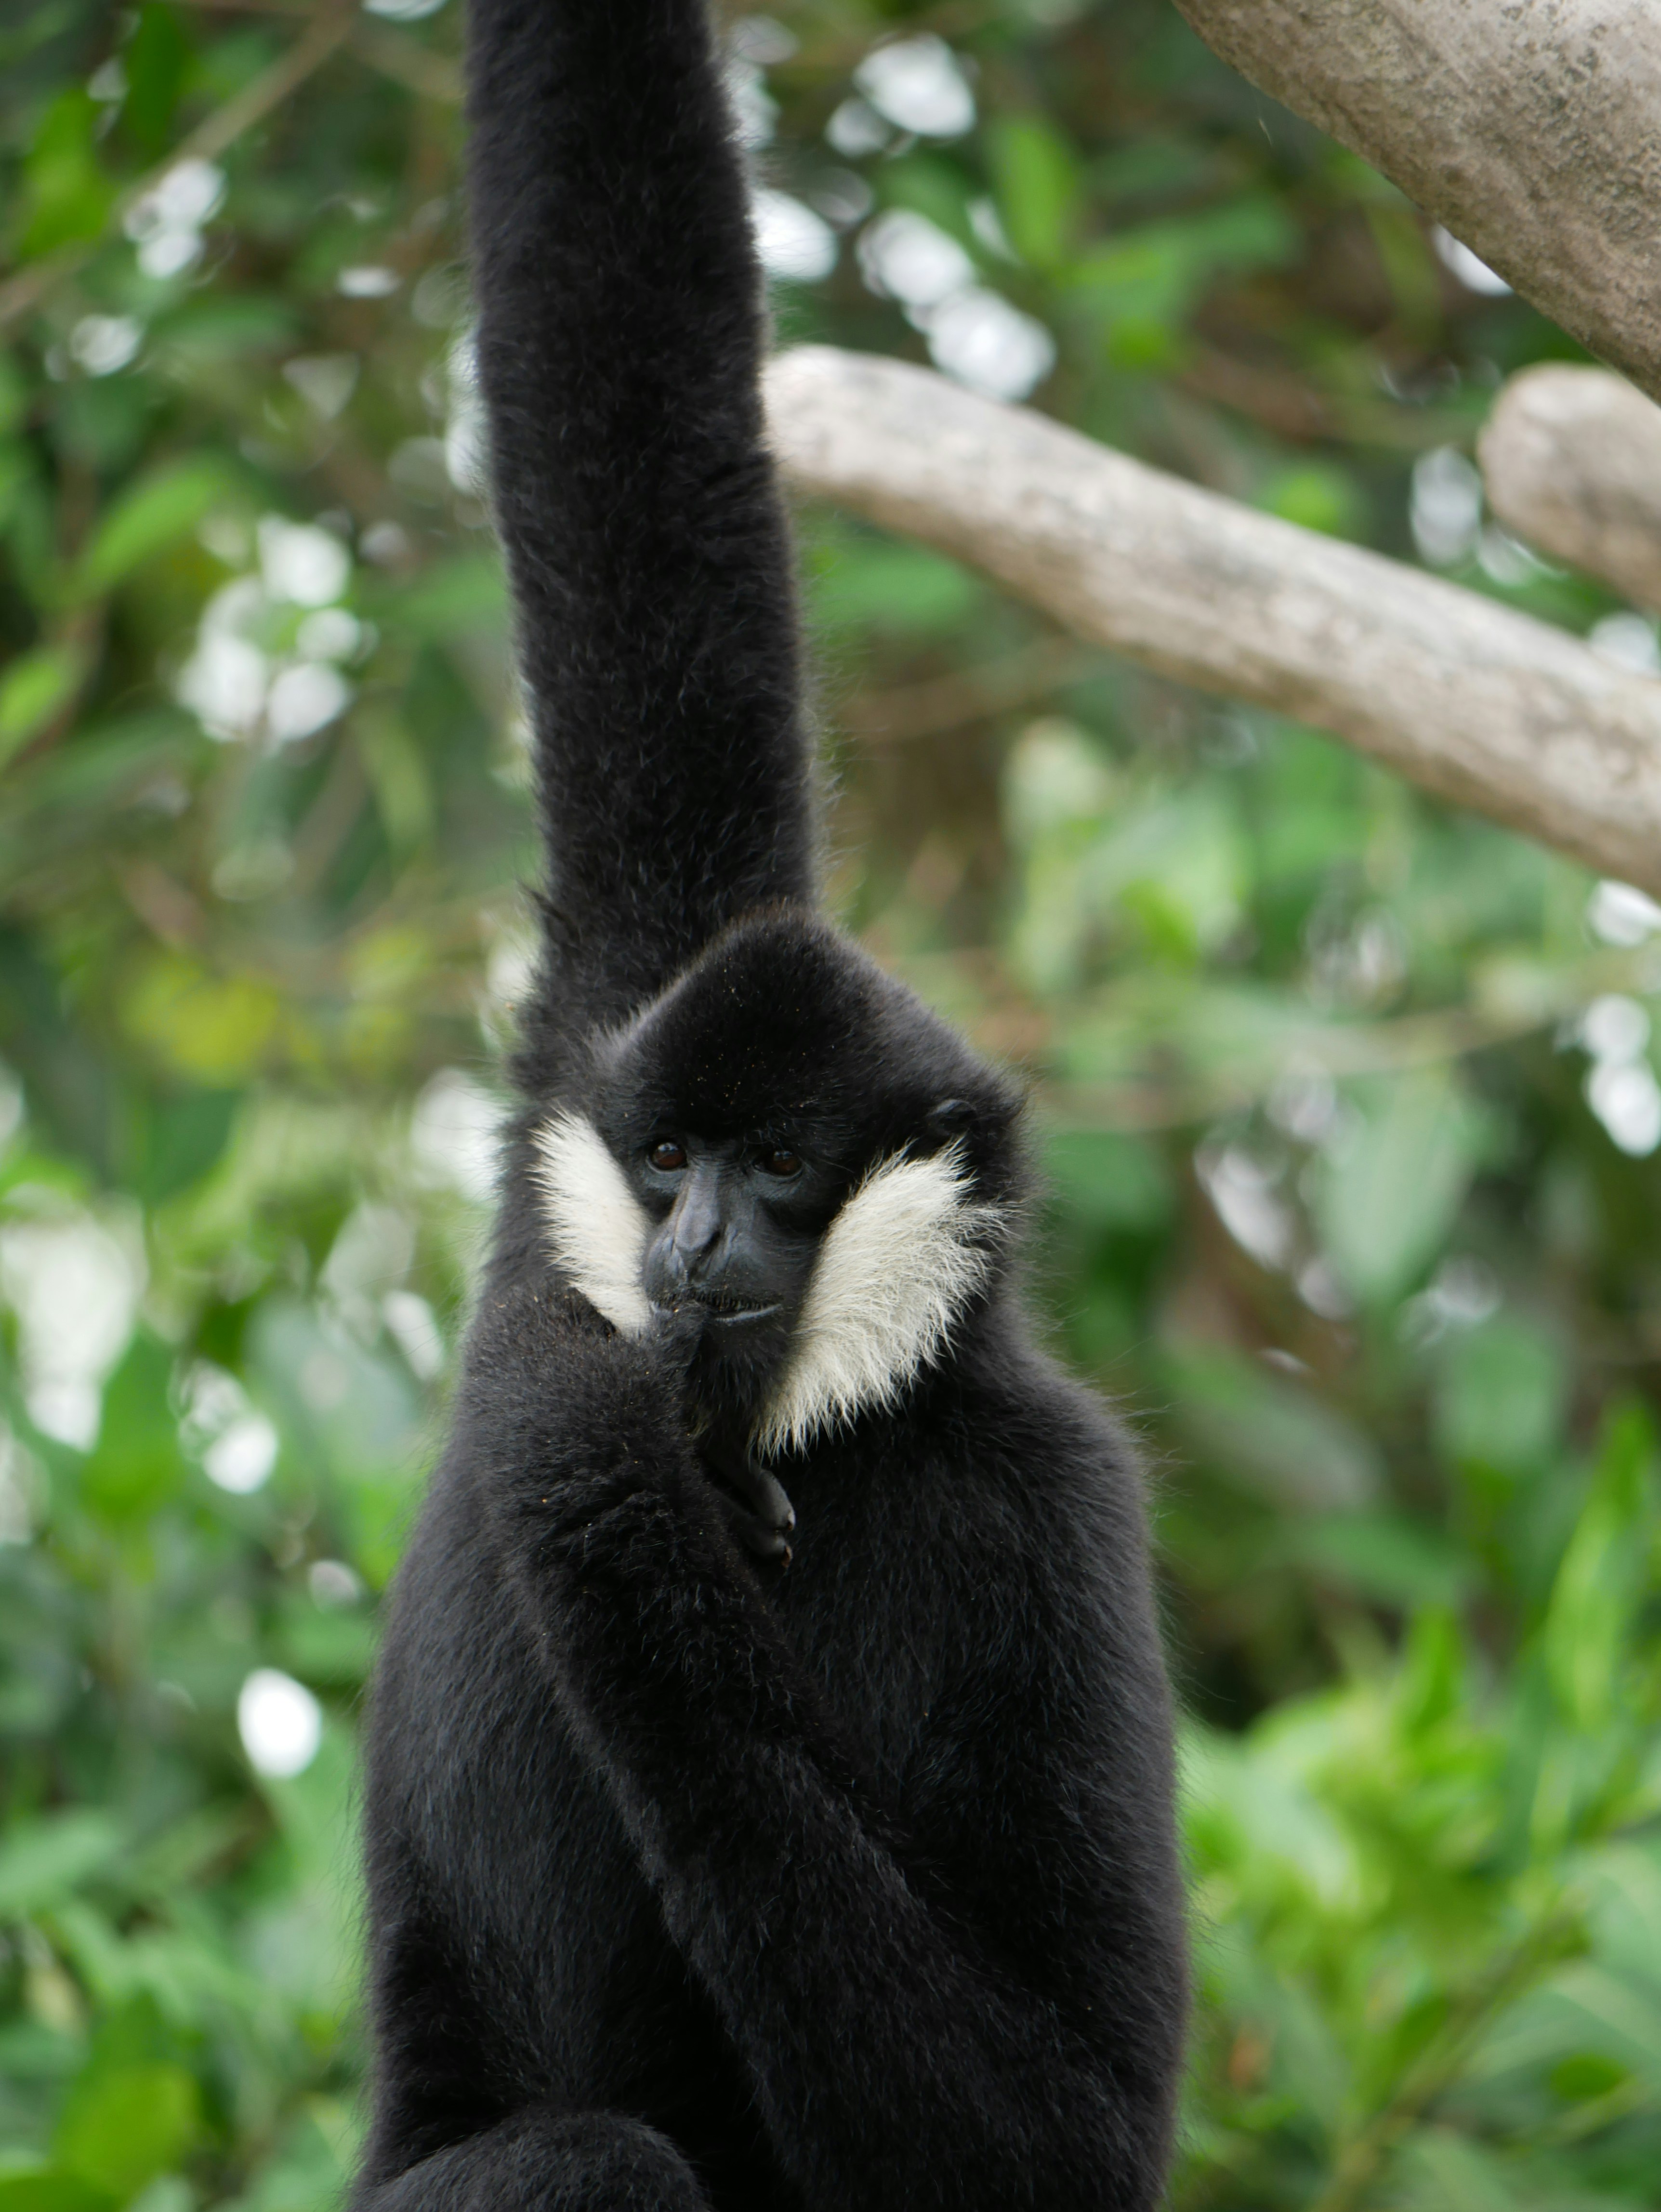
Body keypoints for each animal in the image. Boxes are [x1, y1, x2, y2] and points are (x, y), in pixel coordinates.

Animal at [351, 0, 1188, 2206]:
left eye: (785, 1164)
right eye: (665, 1155)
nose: (695, 1233)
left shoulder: (1058, 1507)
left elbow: (1070, 2132)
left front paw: (611, 1503)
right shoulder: (582, 1063)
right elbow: (620, 358)